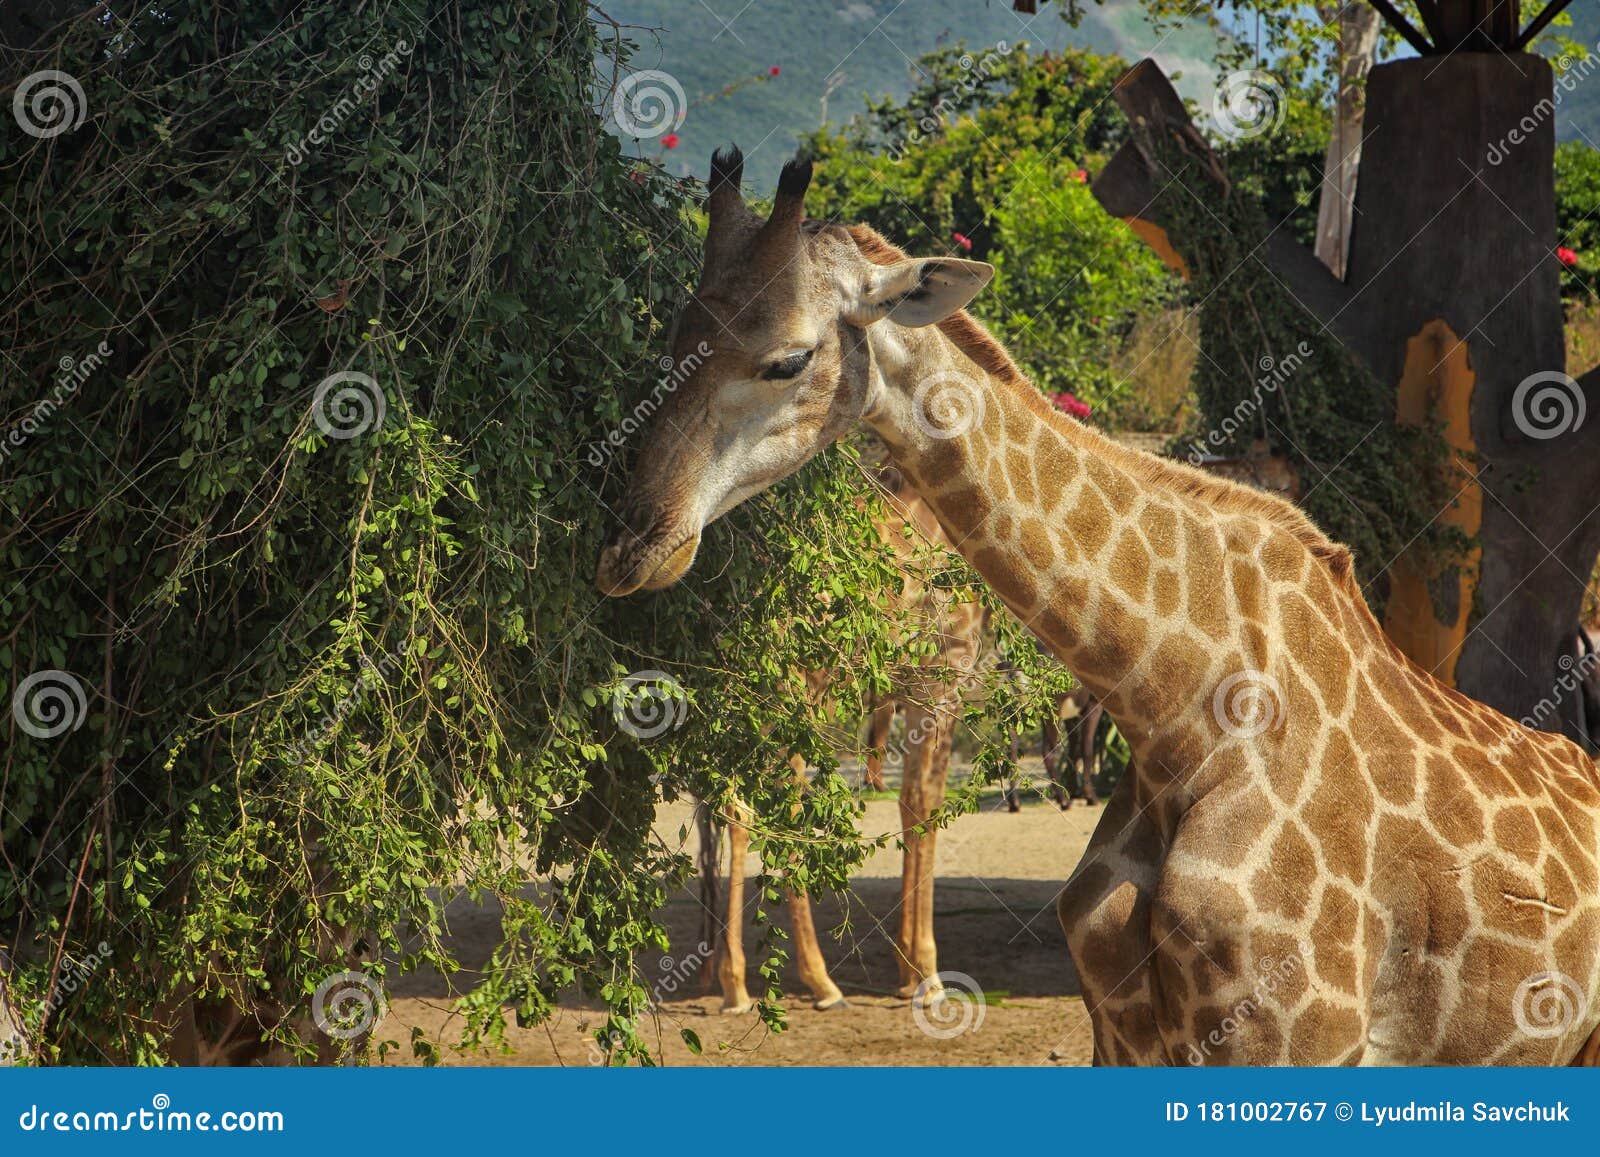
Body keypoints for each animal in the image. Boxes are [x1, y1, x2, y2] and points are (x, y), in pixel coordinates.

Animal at [706, 465, 987, 1012]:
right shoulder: (942, 679)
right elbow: (925, 801)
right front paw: (928, 973)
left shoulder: (906, 692)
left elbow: (908, 804)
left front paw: (905, 971)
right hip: (790, 691)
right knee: (780, 808)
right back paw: (818, 983)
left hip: (745, 696)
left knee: (736, 806)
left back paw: (733, 982)